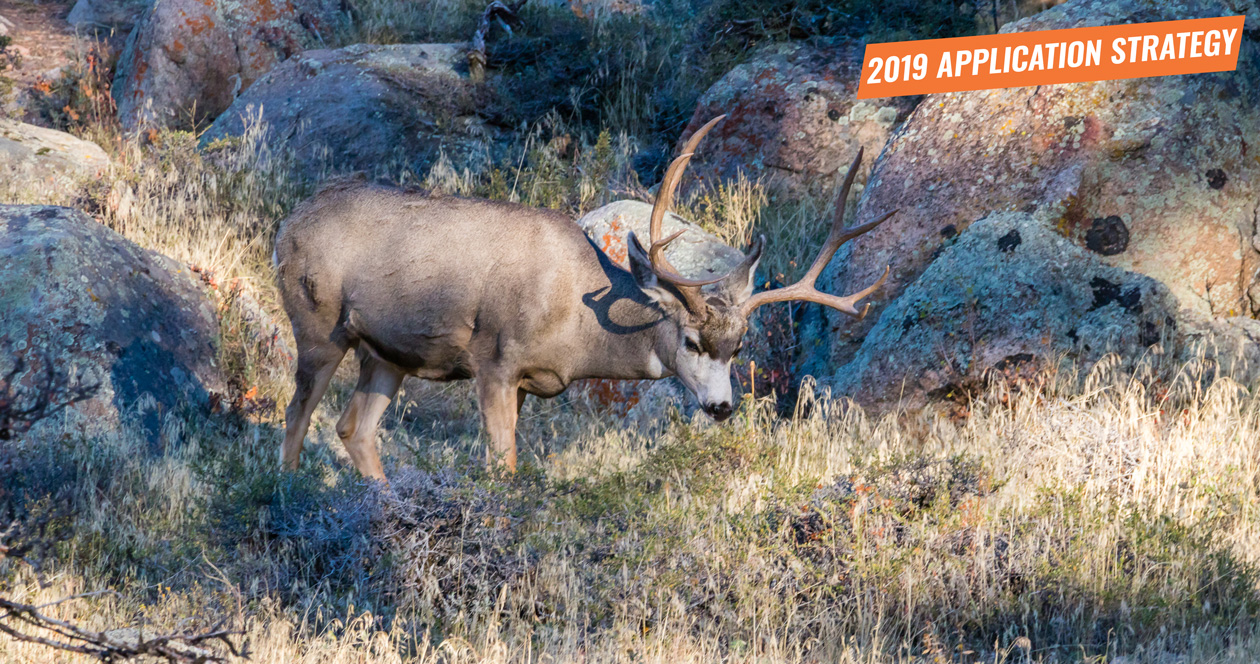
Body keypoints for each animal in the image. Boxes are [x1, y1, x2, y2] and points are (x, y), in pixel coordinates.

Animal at [273, 115, 896, 480]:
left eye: (739, 348)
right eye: (691, 340)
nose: (722, 406)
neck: (575, 317)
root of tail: (287, 224)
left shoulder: (526, 383)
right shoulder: (493, 360)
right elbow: (502, 467)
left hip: (388, 353)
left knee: (354, 429)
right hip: (318, 325)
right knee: (296, 413)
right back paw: (286, 490)